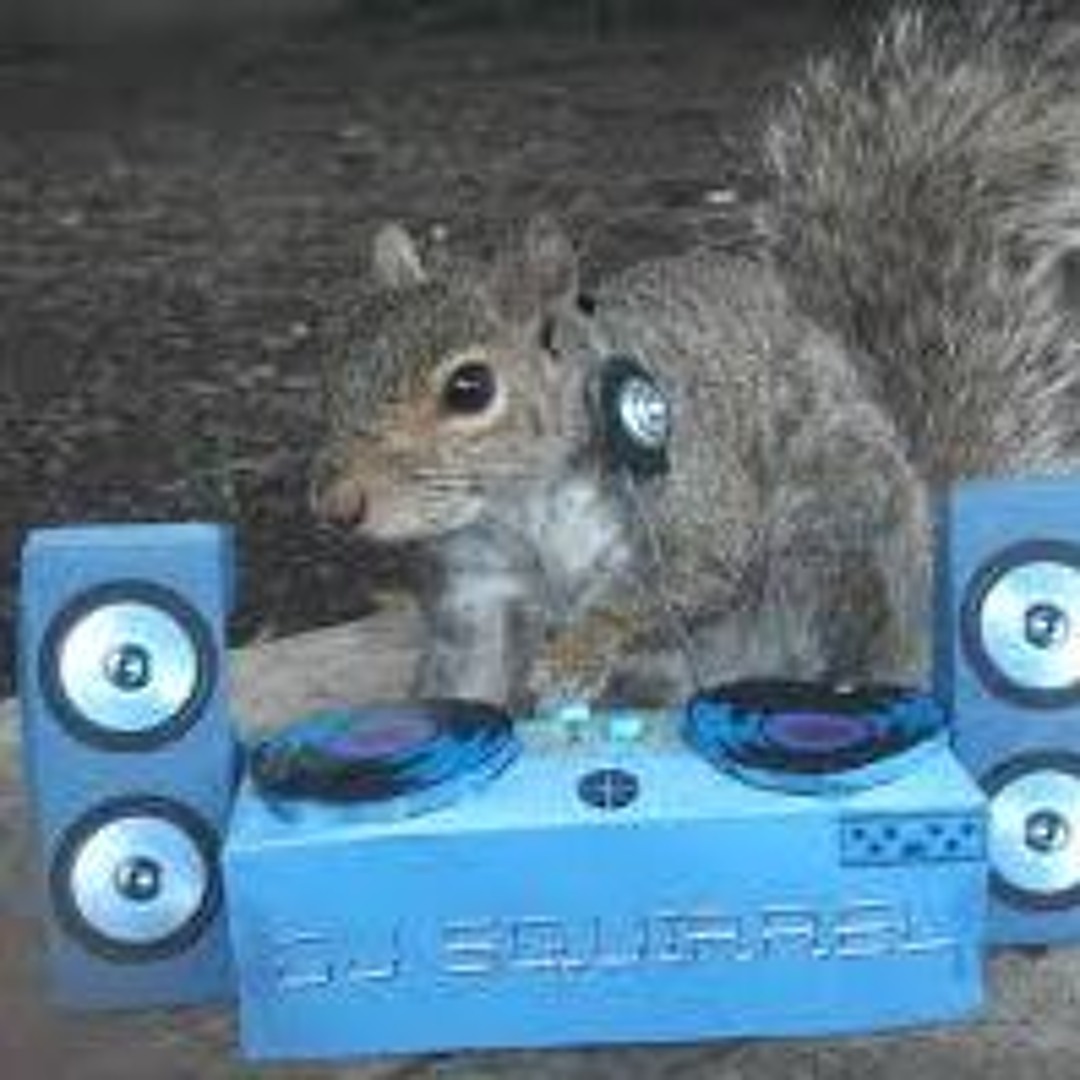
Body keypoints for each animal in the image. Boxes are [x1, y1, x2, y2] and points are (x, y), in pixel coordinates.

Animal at [312, 1, 1080, 712]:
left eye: (470, 388)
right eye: (335, 369)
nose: (338, 506)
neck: (523, 507)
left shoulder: (691, 503)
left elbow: (678, 580)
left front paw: (575, 653)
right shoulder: (478, 587)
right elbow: (463, 681)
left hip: (828, 529)